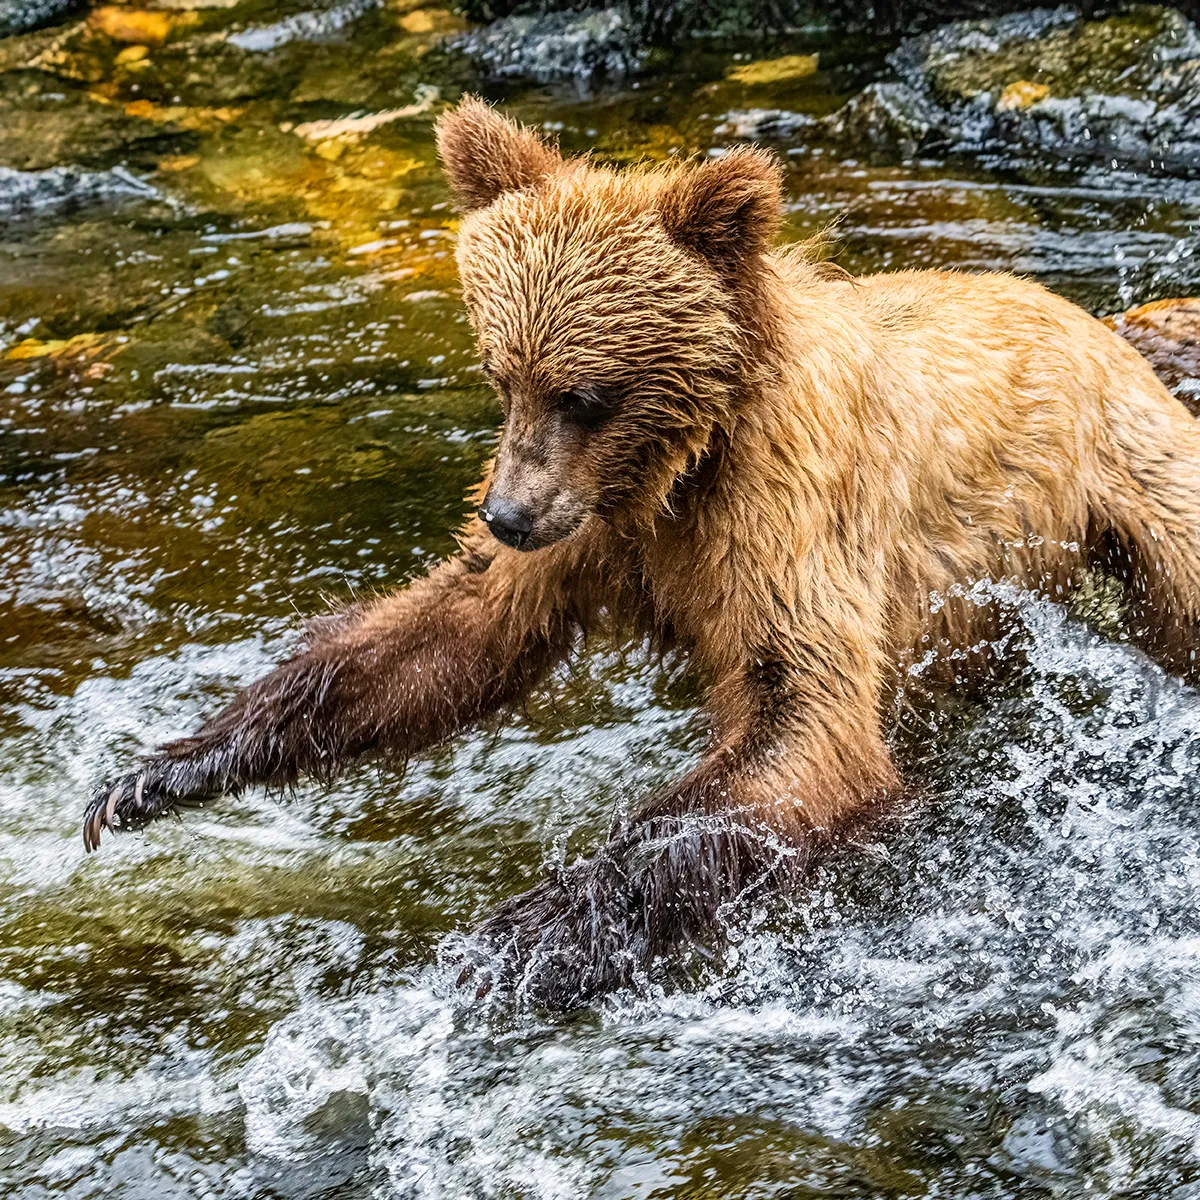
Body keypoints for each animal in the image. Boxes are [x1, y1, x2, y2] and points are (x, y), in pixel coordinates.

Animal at [82, 97, 1200, 1008]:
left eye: (587, 392)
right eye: (502, 374)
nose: (505, 514)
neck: (673, 470)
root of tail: (1101, 324)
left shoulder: (784, 516)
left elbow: (803, 727)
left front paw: (523, 934)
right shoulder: (591, 530)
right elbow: (450, 637)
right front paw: (151, 777)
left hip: (1125, 484)